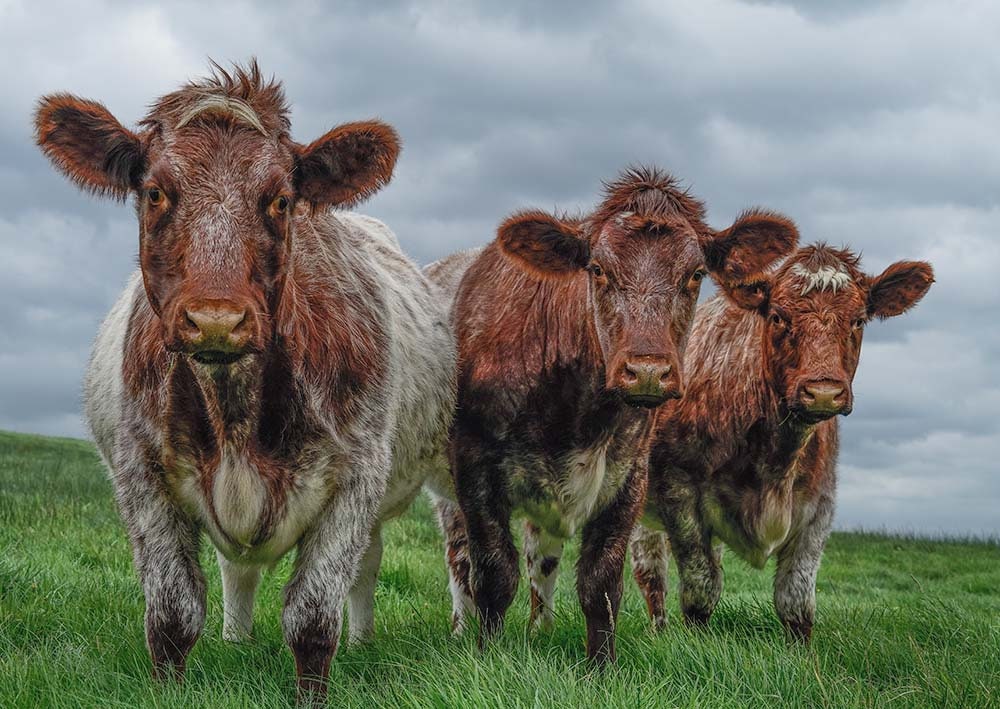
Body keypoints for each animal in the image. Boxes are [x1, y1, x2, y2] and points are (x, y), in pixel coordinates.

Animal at [34, 62, 457, 699]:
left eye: (281, 199)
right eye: (155, 192)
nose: (216, 319)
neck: (235, 406)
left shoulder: (357, 478)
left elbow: (313, 617)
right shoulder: (140, 473)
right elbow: (173, 614)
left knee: (366, 565)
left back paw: (363, 643)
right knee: (238, 570)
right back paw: (237, 641)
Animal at [444, 167, 800, 663]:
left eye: (696, 274)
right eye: (597, 269)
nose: (647, 371)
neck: (574, 413)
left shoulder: (629, 473)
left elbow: (601, 582)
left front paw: (601, 667)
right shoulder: (472, 464)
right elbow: (494, 572)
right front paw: (488, 657)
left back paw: (539, 630)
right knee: (460, 558)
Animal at [631, 243, 934, 641]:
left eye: (858, 321)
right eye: (777, 317)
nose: (824, 392)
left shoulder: (820, 505)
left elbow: (796, 597)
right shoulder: (678, 492)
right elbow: (701, 585)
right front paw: (696, 641)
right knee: (650, 571)